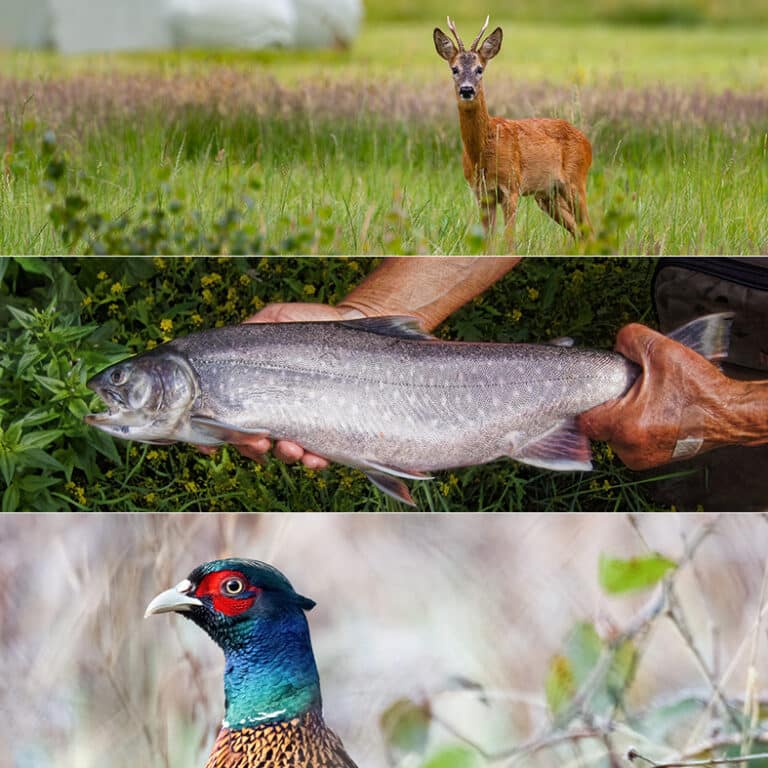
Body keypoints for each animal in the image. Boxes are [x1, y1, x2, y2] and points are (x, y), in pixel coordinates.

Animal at [433, 16, 593, 249]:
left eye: (479, 69)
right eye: (454, 69)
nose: (467, 90)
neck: (483, 151)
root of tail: (587, 143)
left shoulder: (512, 187)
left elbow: (509, 241)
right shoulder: (482, 193)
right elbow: (488, 243)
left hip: (575, 181)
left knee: (589, 229)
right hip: (548, 195)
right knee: (579, 232)